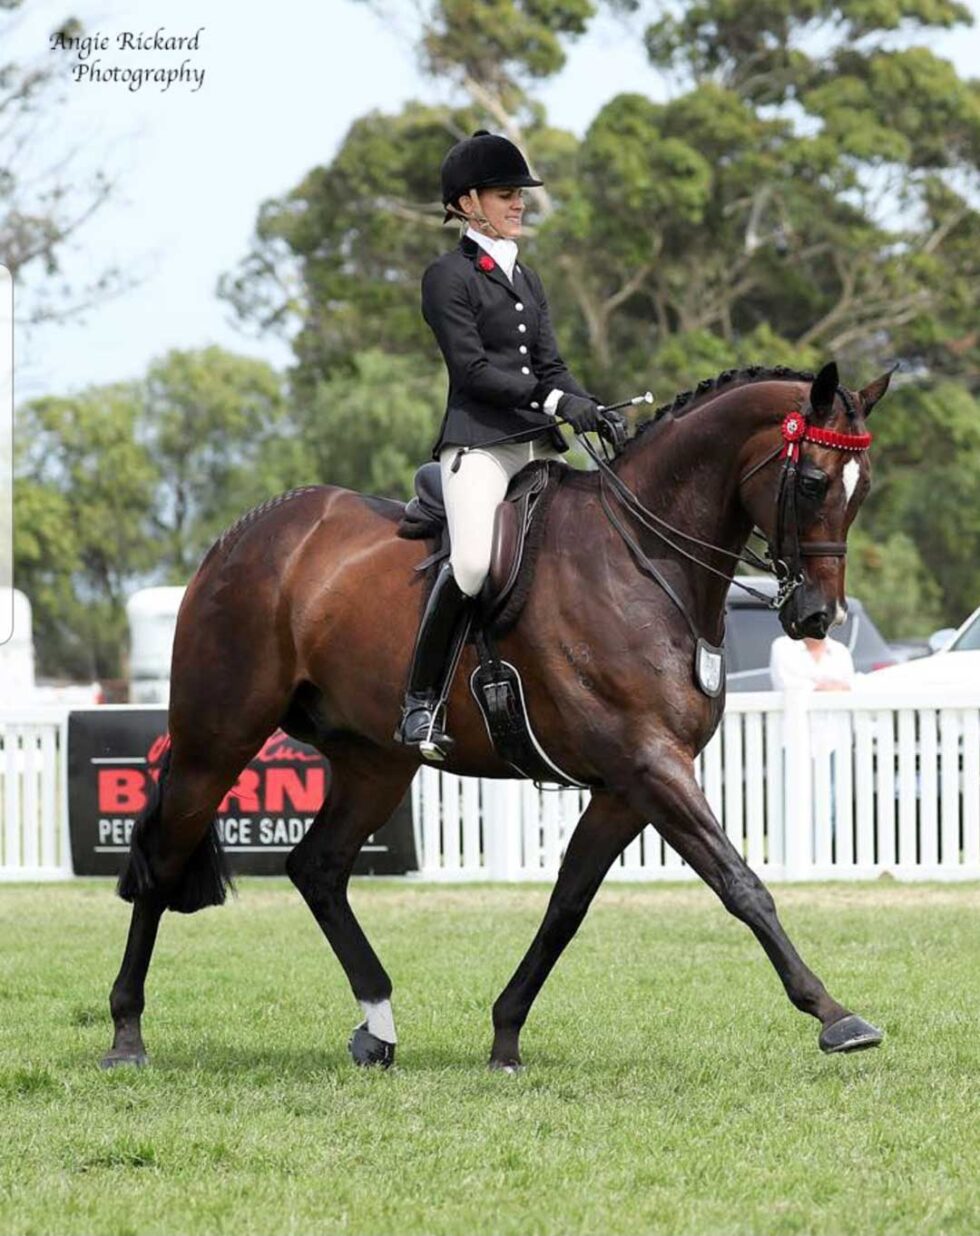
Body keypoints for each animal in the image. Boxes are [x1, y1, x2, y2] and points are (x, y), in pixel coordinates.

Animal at [102, 359, 892, 1071]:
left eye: (863, 492)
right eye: (814, 482)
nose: (817, 617)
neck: (642, 560)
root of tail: (246, 533)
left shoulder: (625, 788)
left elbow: (566, 907)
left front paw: (506, 1035)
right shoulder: (650, 766)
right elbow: (742, 885)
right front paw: (836, 1015)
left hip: (374, 763)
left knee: (318, 868)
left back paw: (377, 1029)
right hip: (218, 737)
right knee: (164, 861)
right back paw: (126, 1035)